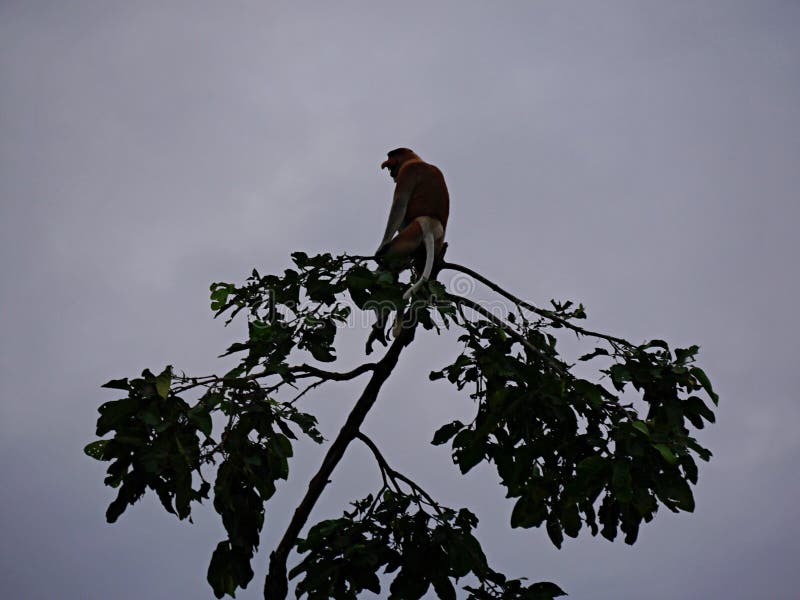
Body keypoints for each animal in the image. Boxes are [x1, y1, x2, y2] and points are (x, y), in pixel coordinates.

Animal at [366, 148, 450, 353]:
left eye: (391, 157)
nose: (385, 165)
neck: (420, 160)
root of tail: (430, 225)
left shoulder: (408, 172)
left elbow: (399, 205)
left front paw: (380, 247)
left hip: (409, 237)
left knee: (385, 270)